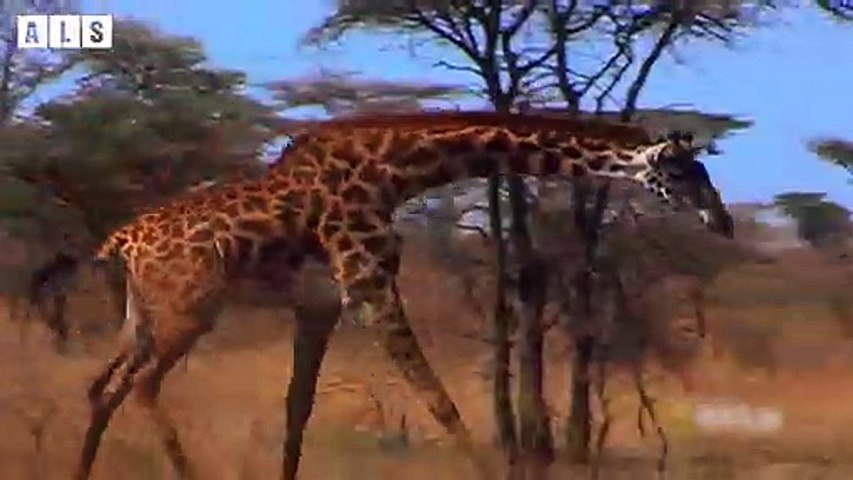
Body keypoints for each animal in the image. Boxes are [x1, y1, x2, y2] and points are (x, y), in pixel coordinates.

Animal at [74, 111, 734, 480]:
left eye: (706, 171)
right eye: (681, 173)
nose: (723, 223)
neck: (397, 171)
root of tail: (119, 243)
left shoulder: (322, 302)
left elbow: (297, 409)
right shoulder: (369, 287)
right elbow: (441, 401)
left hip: (144, 316)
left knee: (103, 389)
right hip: (189, 312)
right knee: (141, 389)